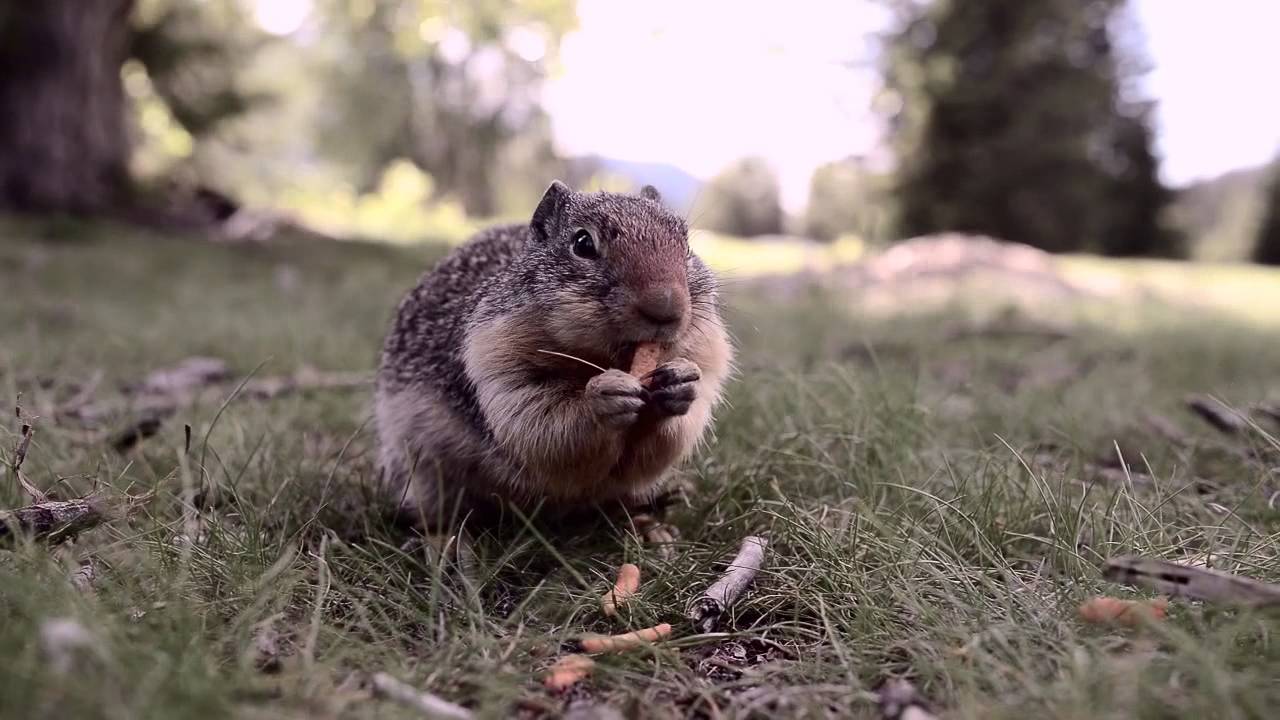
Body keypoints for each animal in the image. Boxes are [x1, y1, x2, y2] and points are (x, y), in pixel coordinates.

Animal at [375, 180, 734, 531]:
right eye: (583, 243)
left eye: (686, 247)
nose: (666, 308)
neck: (604, 361)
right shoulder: (497, 367)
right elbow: (539, 427)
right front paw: (601, 396)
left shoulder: (706, 355)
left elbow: (666, 441)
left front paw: (681, 383)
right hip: (422, 472)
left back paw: (648, 523)